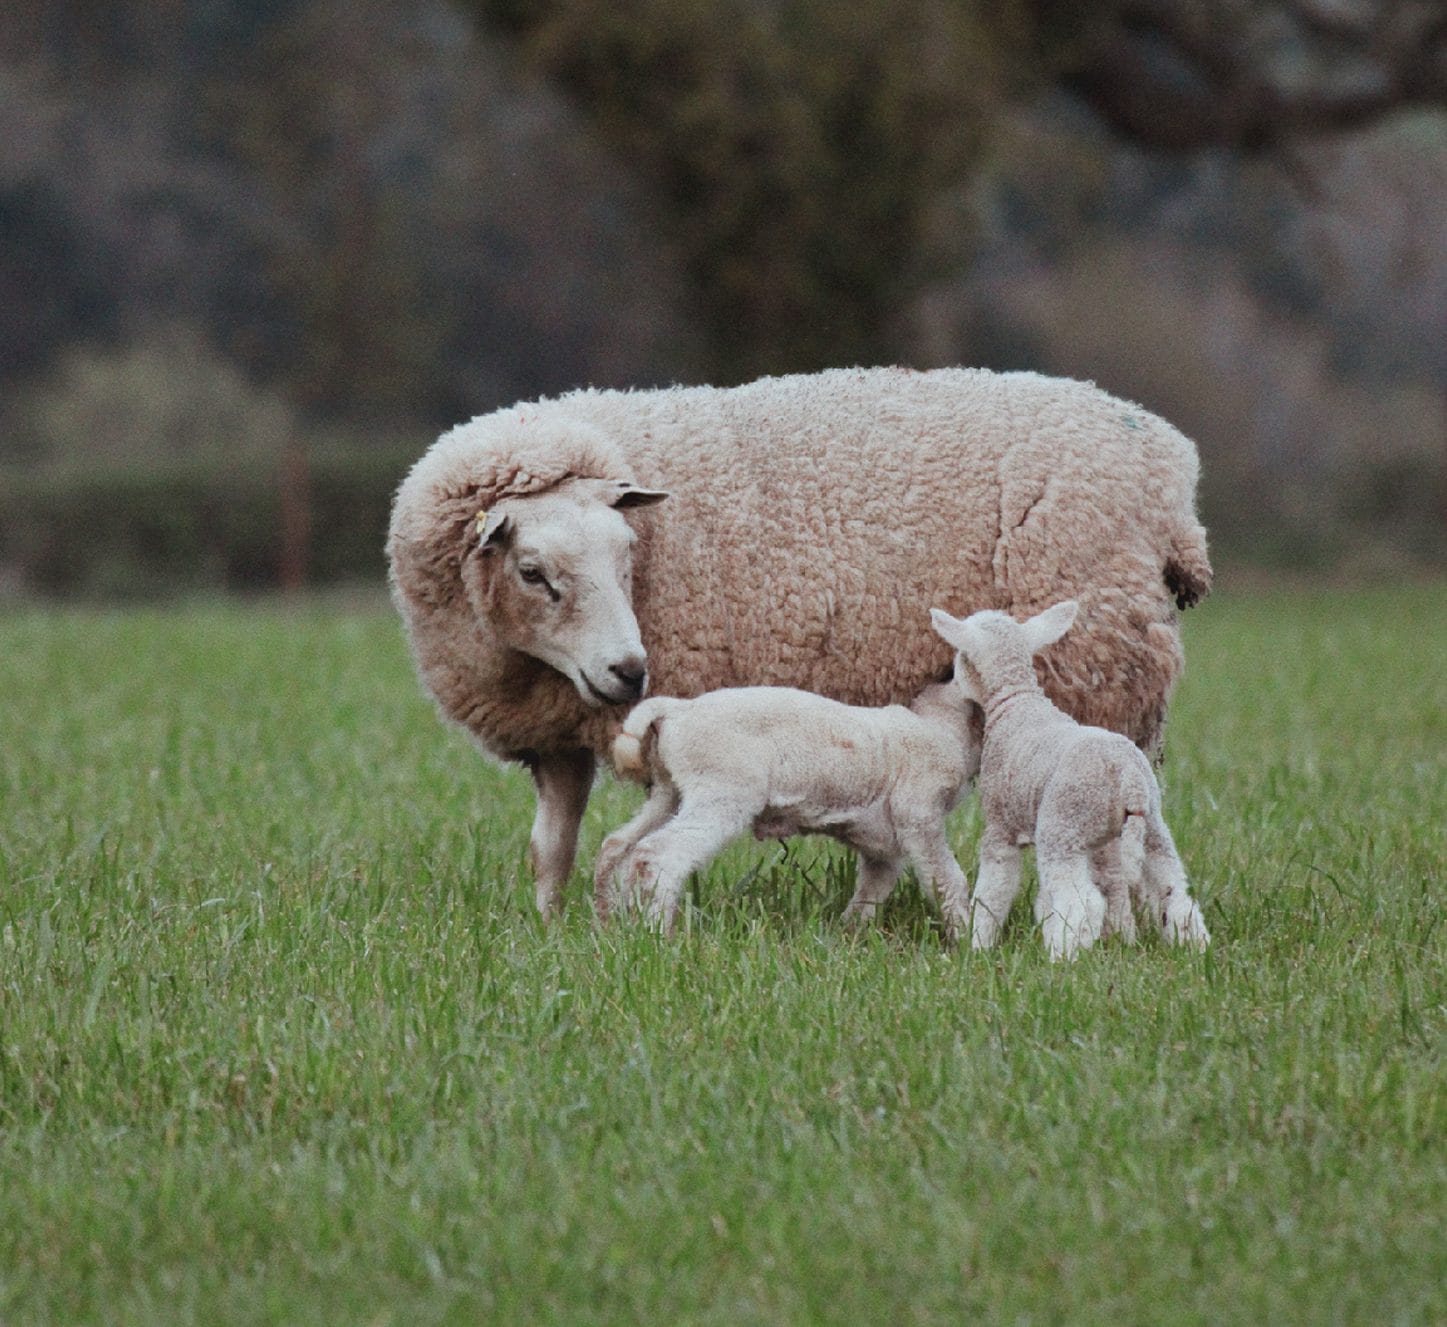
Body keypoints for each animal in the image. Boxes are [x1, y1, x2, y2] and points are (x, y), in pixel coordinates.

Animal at [593, 682, 980, 933]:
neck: (945, 729)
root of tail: (676, 710)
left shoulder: (882, 847)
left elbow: (872, 890)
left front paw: (850, 937)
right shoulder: (920, 815)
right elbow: (946, 880)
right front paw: (967, 944)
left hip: (668, 792)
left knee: (618, 846)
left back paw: (613, 925)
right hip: (722, 792)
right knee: (659, 855)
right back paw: (658, 933)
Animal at [930, 601, 1211, 960]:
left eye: (960, 656)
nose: (949, 678)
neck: (1016, 699)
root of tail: (1128, 778)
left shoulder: (1000, 826)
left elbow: (994, 889)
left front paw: (979, 945)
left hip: (1063, 827)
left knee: (1082, 902)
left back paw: (1062, 957)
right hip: (1150, 827)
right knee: (1176, 895)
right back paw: (1196, 947)